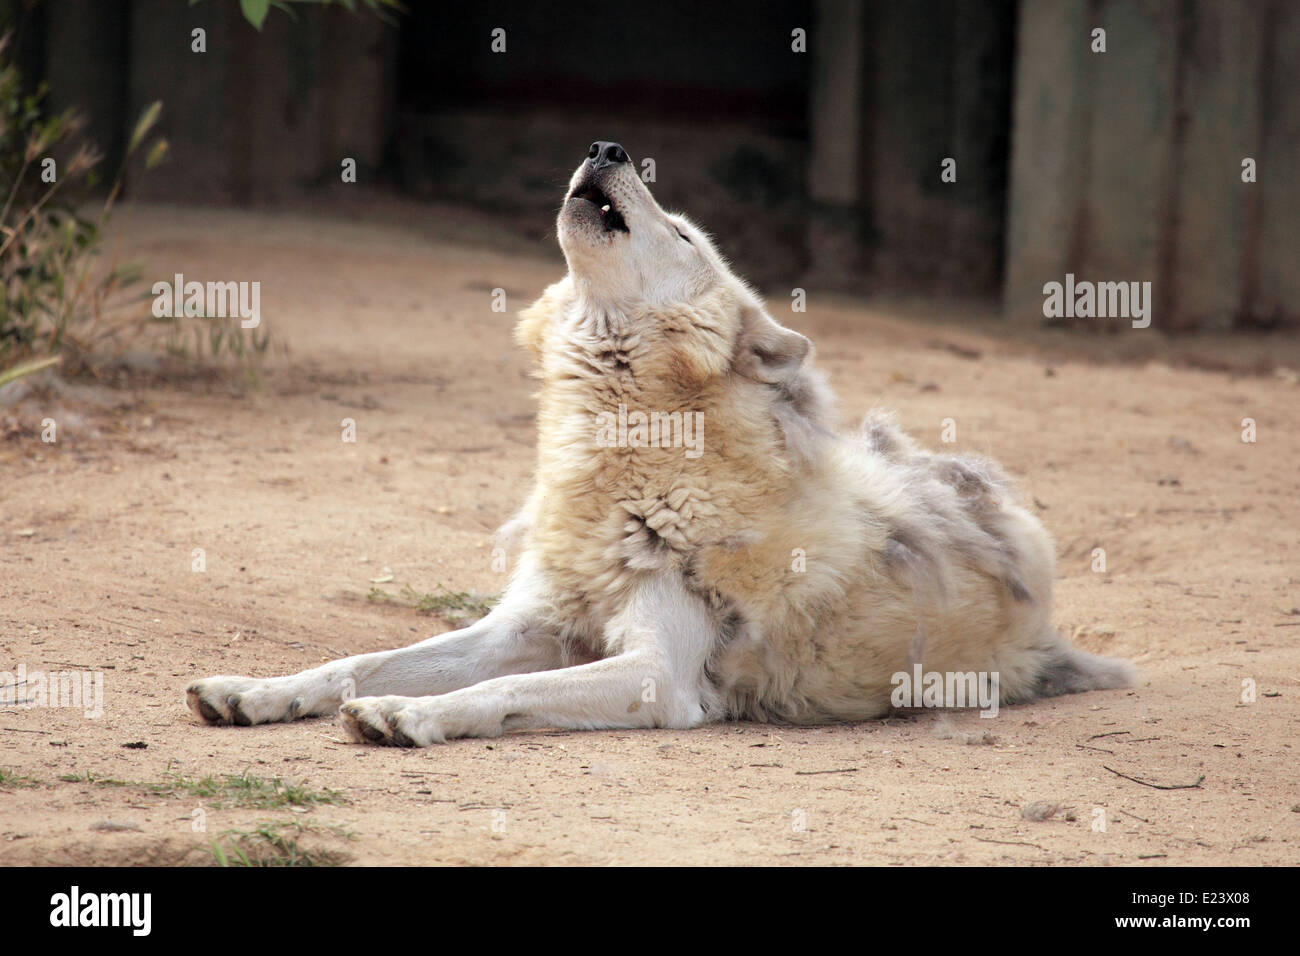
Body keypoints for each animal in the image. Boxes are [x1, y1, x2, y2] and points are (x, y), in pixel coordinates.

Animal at [186, 141, 1135, 746]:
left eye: (681, 233)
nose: (606, 144)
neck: (625, 474)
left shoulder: (656, 674)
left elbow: (502, 688)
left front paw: (411, 717)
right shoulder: (527, 623)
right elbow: (361, 658)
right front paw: (255, 692)